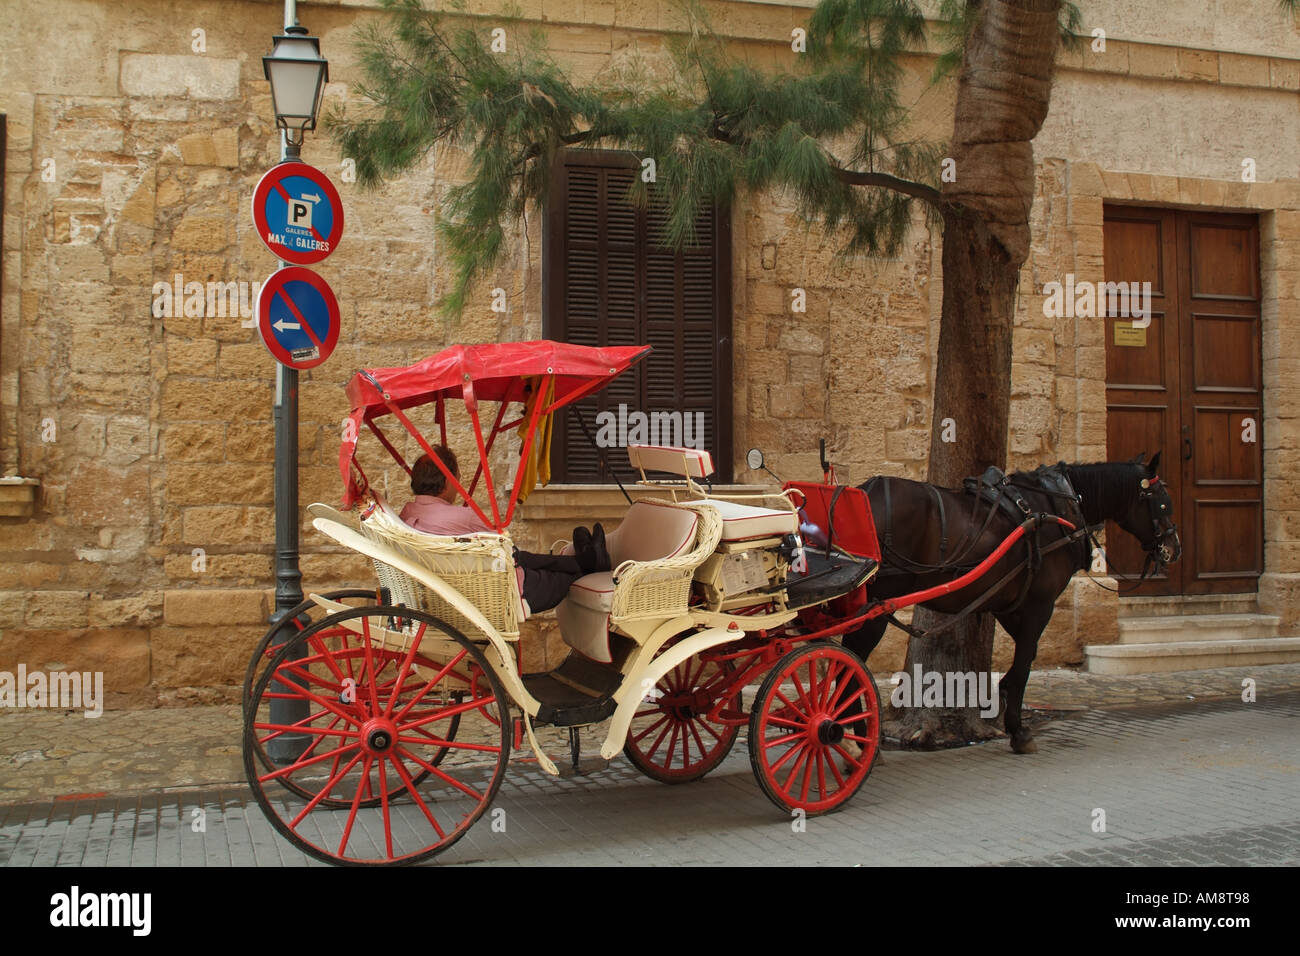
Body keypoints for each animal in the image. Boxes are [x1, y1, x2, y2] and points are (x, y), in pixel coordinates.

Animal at [841, 452, 1182, 754]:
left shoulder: (1009, 603)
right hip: (874, 612)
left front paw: (1004, 702)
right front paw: (1018, 731)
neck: (1056, 506)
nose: (1174, 547)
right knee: (851, 668)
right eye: (1163, 500)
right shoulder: (1039, 605)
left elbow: (1022, 662)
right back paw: (859, 743)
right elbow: (1024, 664)